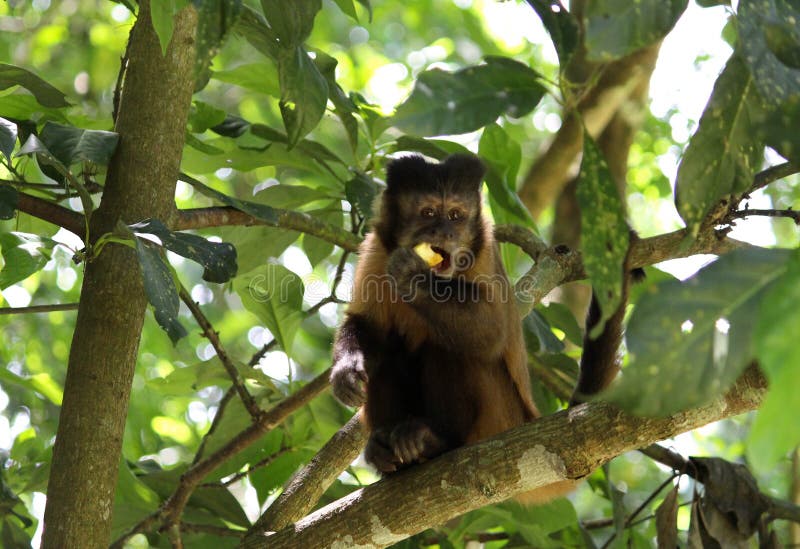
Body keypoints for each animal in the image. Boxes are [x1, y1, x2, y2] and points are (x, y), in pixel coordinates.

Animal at [330, 152, 634, 500]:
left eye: (456, 215)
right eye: (429, 212)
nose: (445, 233)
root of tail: (526, 420)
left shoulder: (486, 250)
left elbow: (490, 333)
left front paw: (413, 277)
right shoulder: (376, 249)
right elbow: (366, 325)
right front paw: (346, 369)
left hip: (497, 418)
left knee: (450, 348)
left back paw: (437, 439)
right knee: (388, 348)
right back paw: (386, 447)